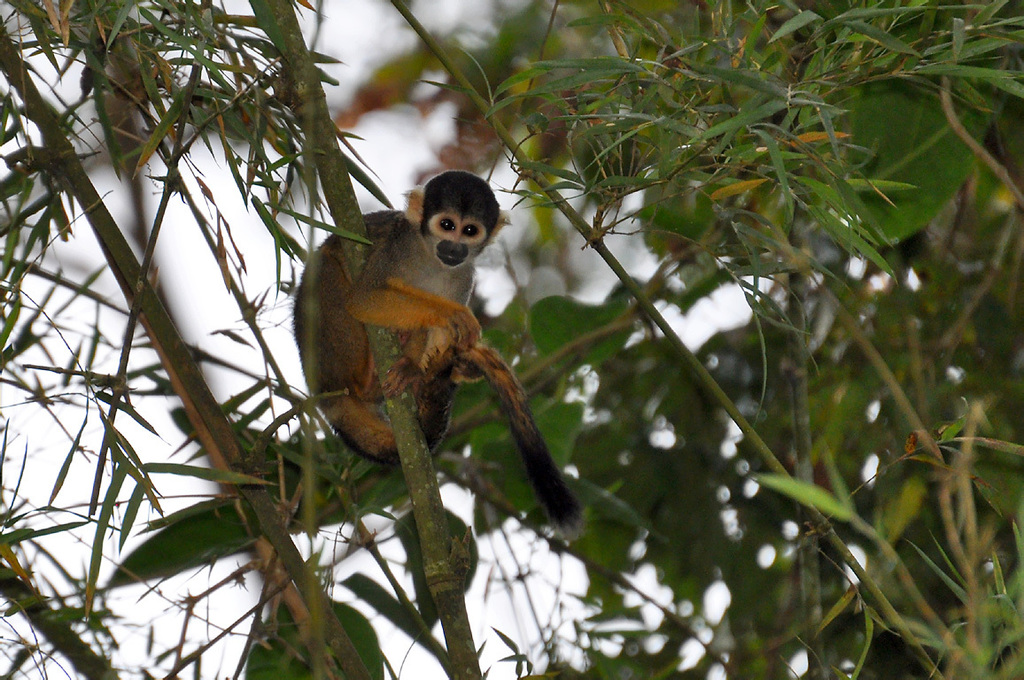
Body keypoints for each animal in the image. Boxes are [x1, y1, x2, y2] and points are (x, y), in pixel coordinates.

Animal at [293, 170, 583, 536]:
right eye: (447, 225)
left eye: (470, 230)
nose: (455, 247)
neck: (432, 258)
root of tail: (322, 392)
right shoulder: (395, 248)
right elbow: (365, 299)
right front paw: (450, 313)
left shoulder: (465, 276)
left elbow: (438, 329)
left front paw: (416, 368)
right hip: (323, 348)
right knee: (329, 273)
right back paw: (364, 379)